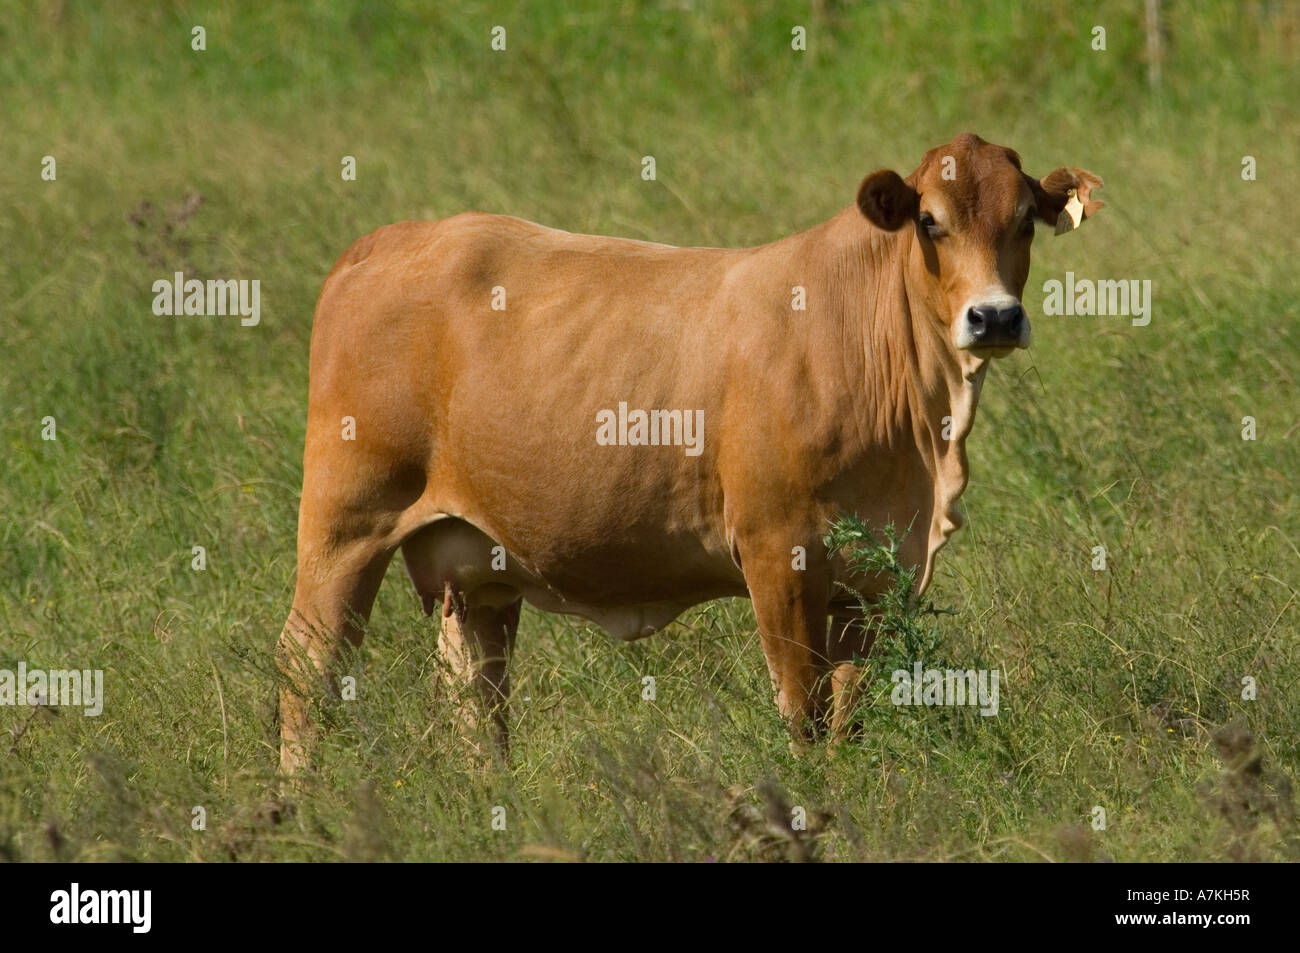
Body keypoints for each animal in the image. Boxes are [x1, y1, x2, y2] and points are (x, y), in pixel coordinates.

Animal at [276, 132, 1103, 773]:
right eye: (930, 222)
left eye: (1025, 221)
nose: (994, 316)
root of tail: (393, 238)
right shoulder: (778, 553)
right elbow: (802, 714)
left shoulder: (874, 575)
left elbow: (849, 721)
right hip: (344, 522)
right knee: (307, 666)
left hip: (476, 564)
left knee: (478, 697)